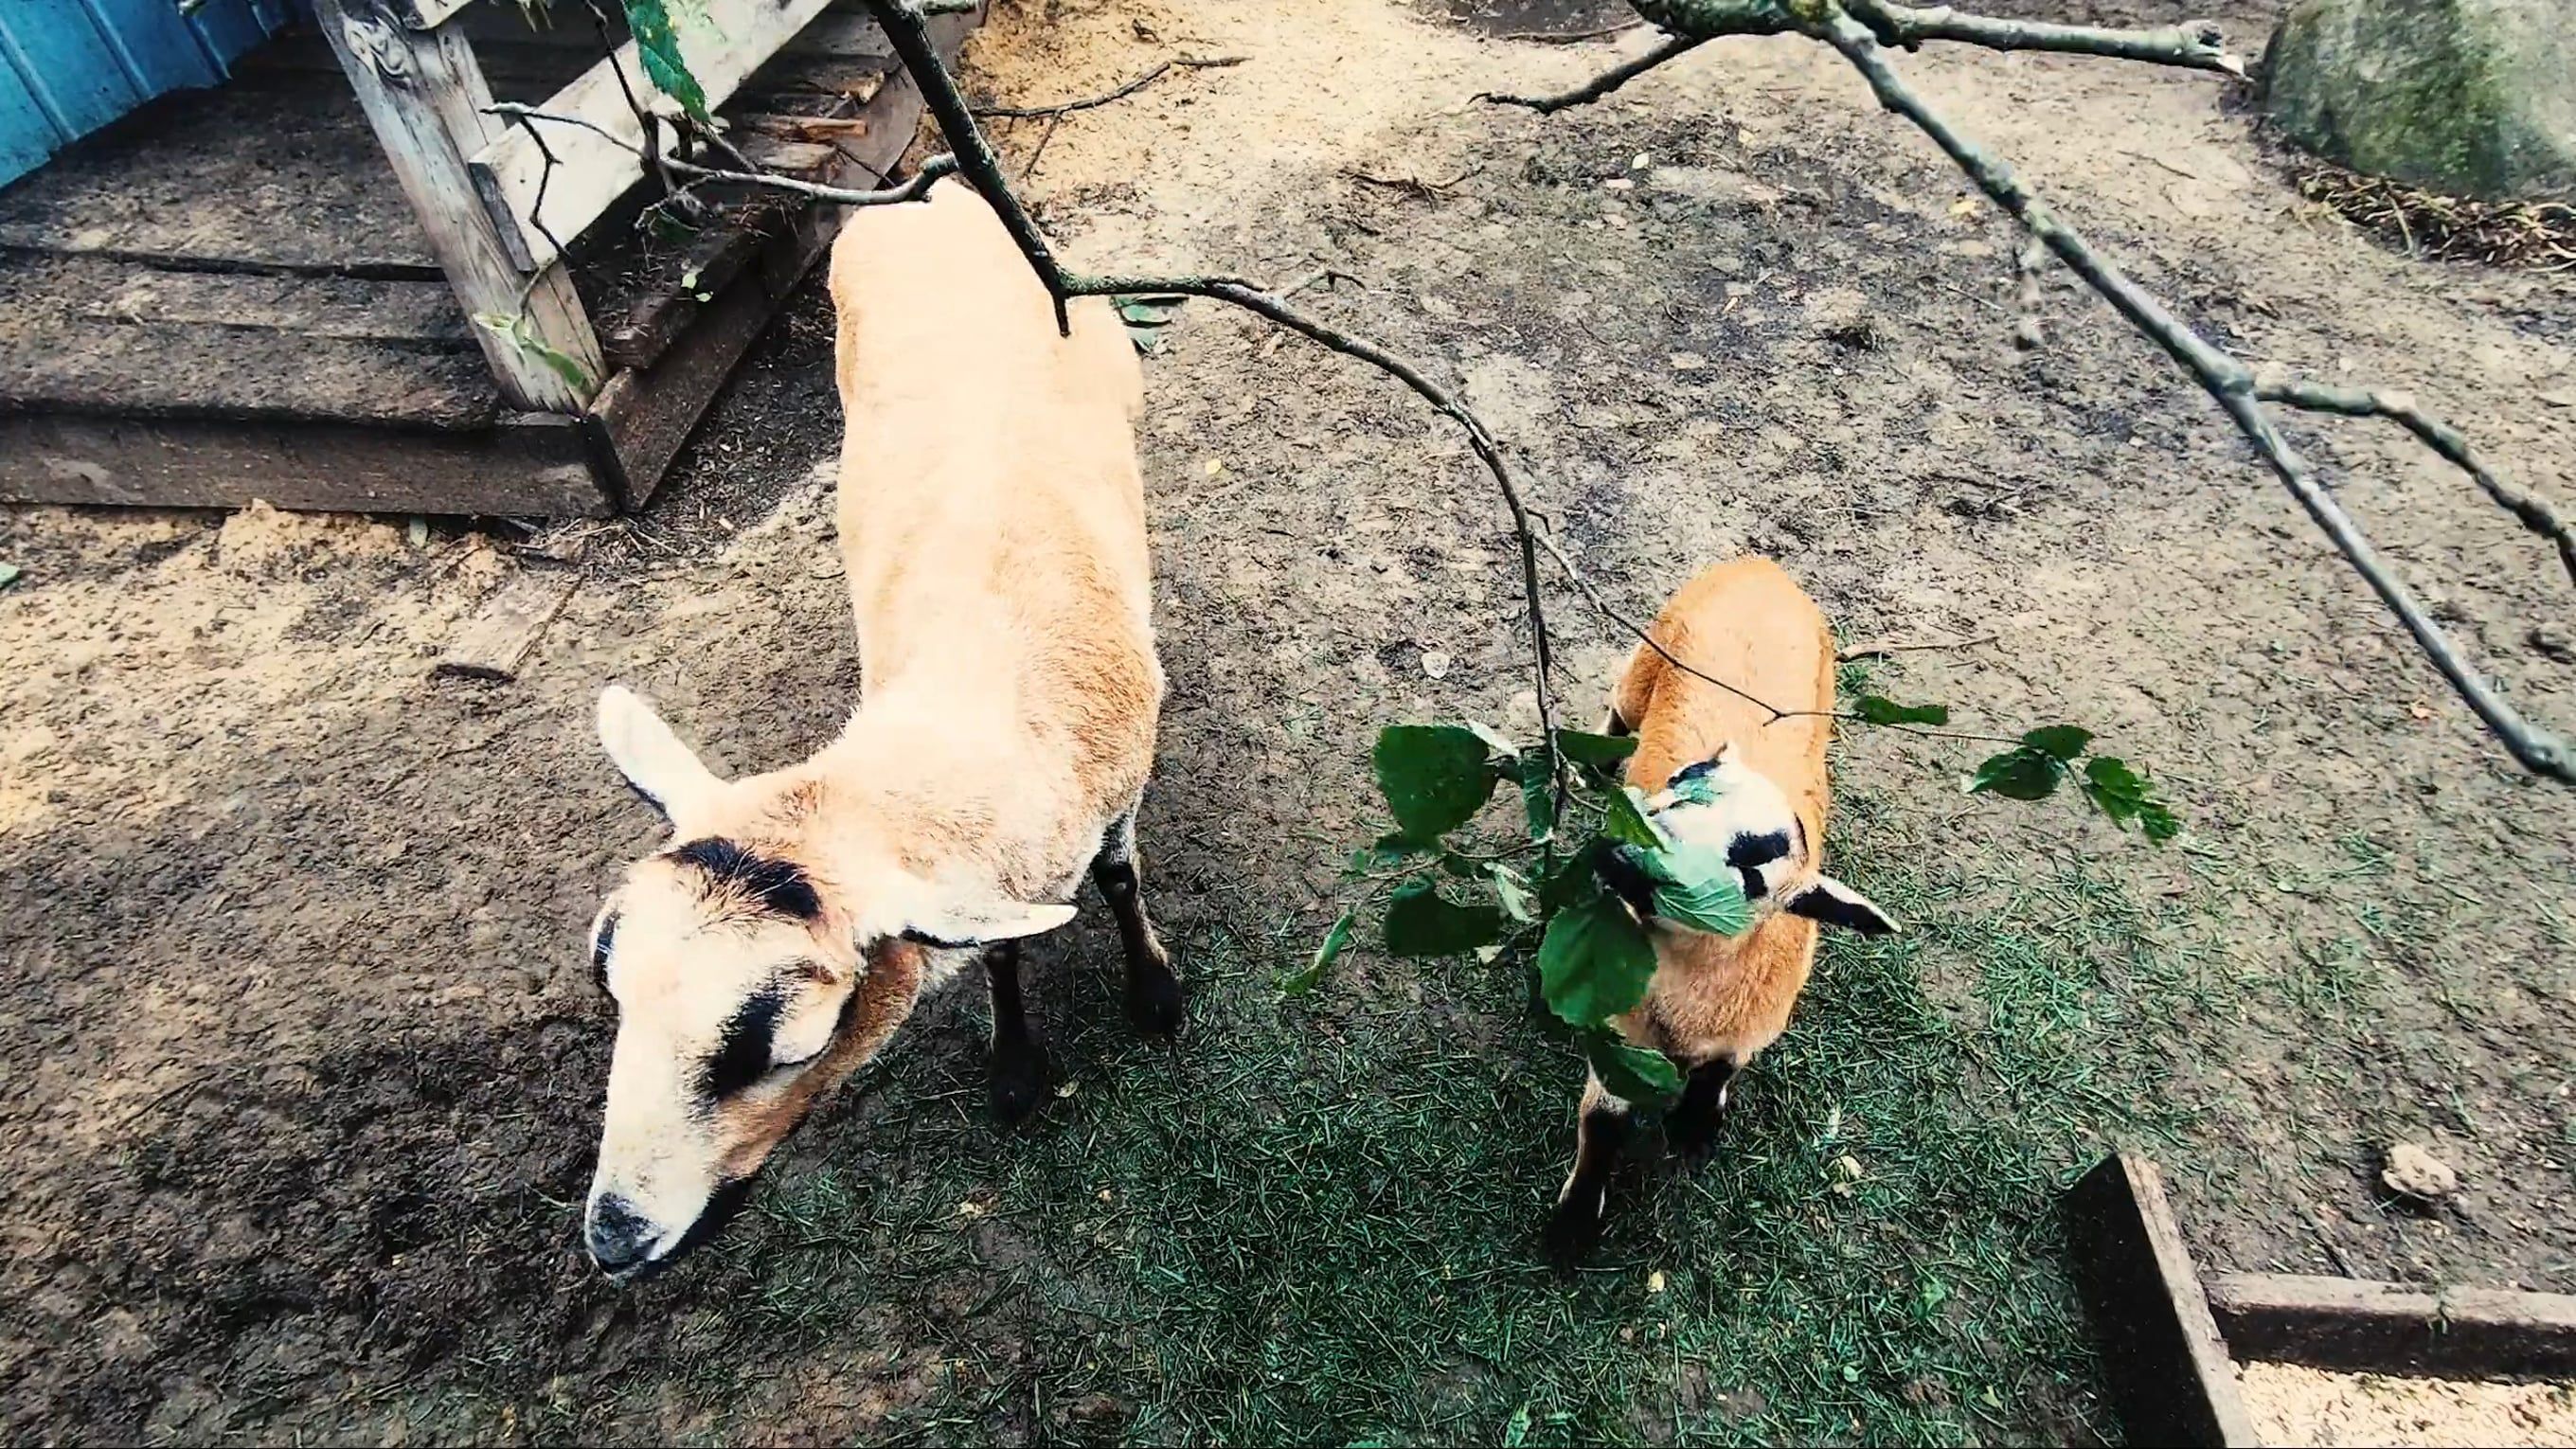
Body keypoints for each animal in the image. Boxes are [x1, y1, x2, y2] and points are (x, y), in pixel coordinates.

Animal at [578, 178, 1177, 1281]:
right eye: (615, 993)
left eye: (786, 1047)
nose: (615, 1240)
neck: (974, 710)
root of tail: (935, 191)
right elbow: (1001, 952)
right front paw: (1016, 1067)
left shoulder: (1117, 789)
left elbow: (1117, 880)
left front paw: (1155, 996)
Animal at [1545, 556, 1898, 1263]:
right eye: (1681, 782)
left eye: (1753, 867)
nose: (1625, 845)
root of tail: (1764, 567)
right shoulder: (1618, 1031)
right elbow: (1600, 1122)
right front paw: (1571, 1230)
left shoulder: (1752, 1024)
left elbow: (1721, 1071)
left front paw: (1695, 1129)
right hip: (1644, 662)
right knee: (1617, 709)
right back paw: (1594, 764)